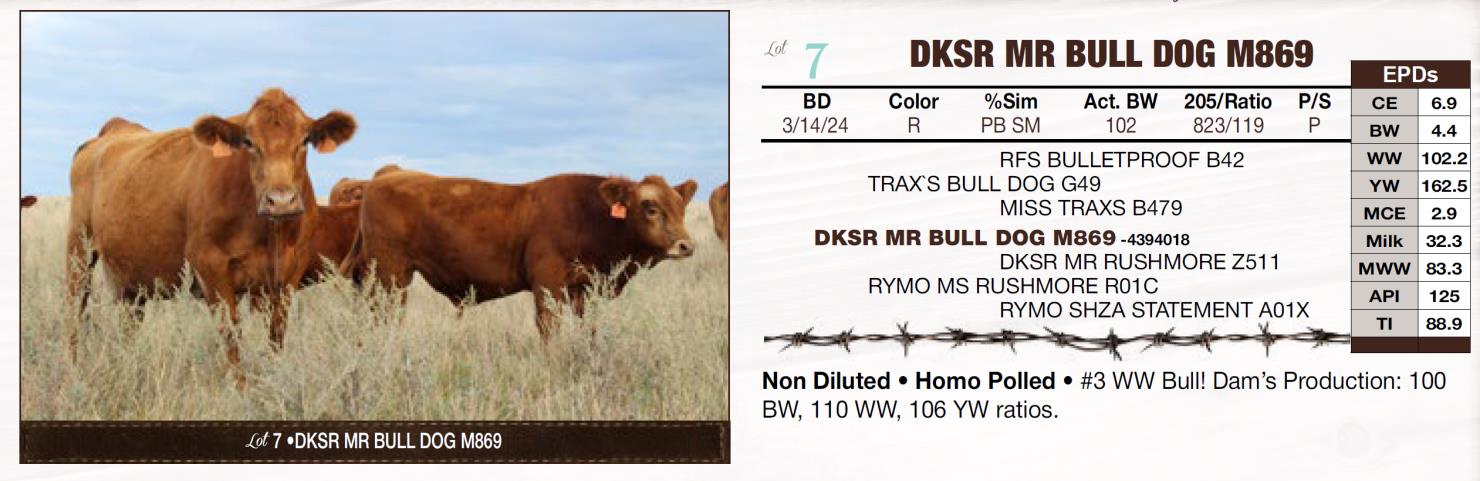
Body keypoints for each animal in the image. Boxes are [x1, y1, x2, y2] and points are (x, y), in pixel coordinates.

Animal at [66, 88, 356, 387]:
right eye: (248, 142)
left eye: (304, 140)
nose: (281, 201)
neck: (269, 234)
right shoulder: (211, 268)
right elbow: (232, 336)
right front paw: (240, 389)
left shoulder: (285, 276)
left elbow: (276, 336)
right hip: (78, 250)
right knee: (74, 312)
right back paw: (71, 374)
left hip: (129, 280)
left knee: (128, 324)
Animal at [340, 169, 697, 339]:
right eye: (650, 208)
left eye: (681, 206)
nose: (686, 245)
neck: (588, 216)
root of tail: (379, 180)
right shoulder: (548, 284)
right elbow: (549, 328)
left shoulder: (583, 289)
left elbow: (587, 329)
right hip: (391, 275)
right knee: (387, 318)